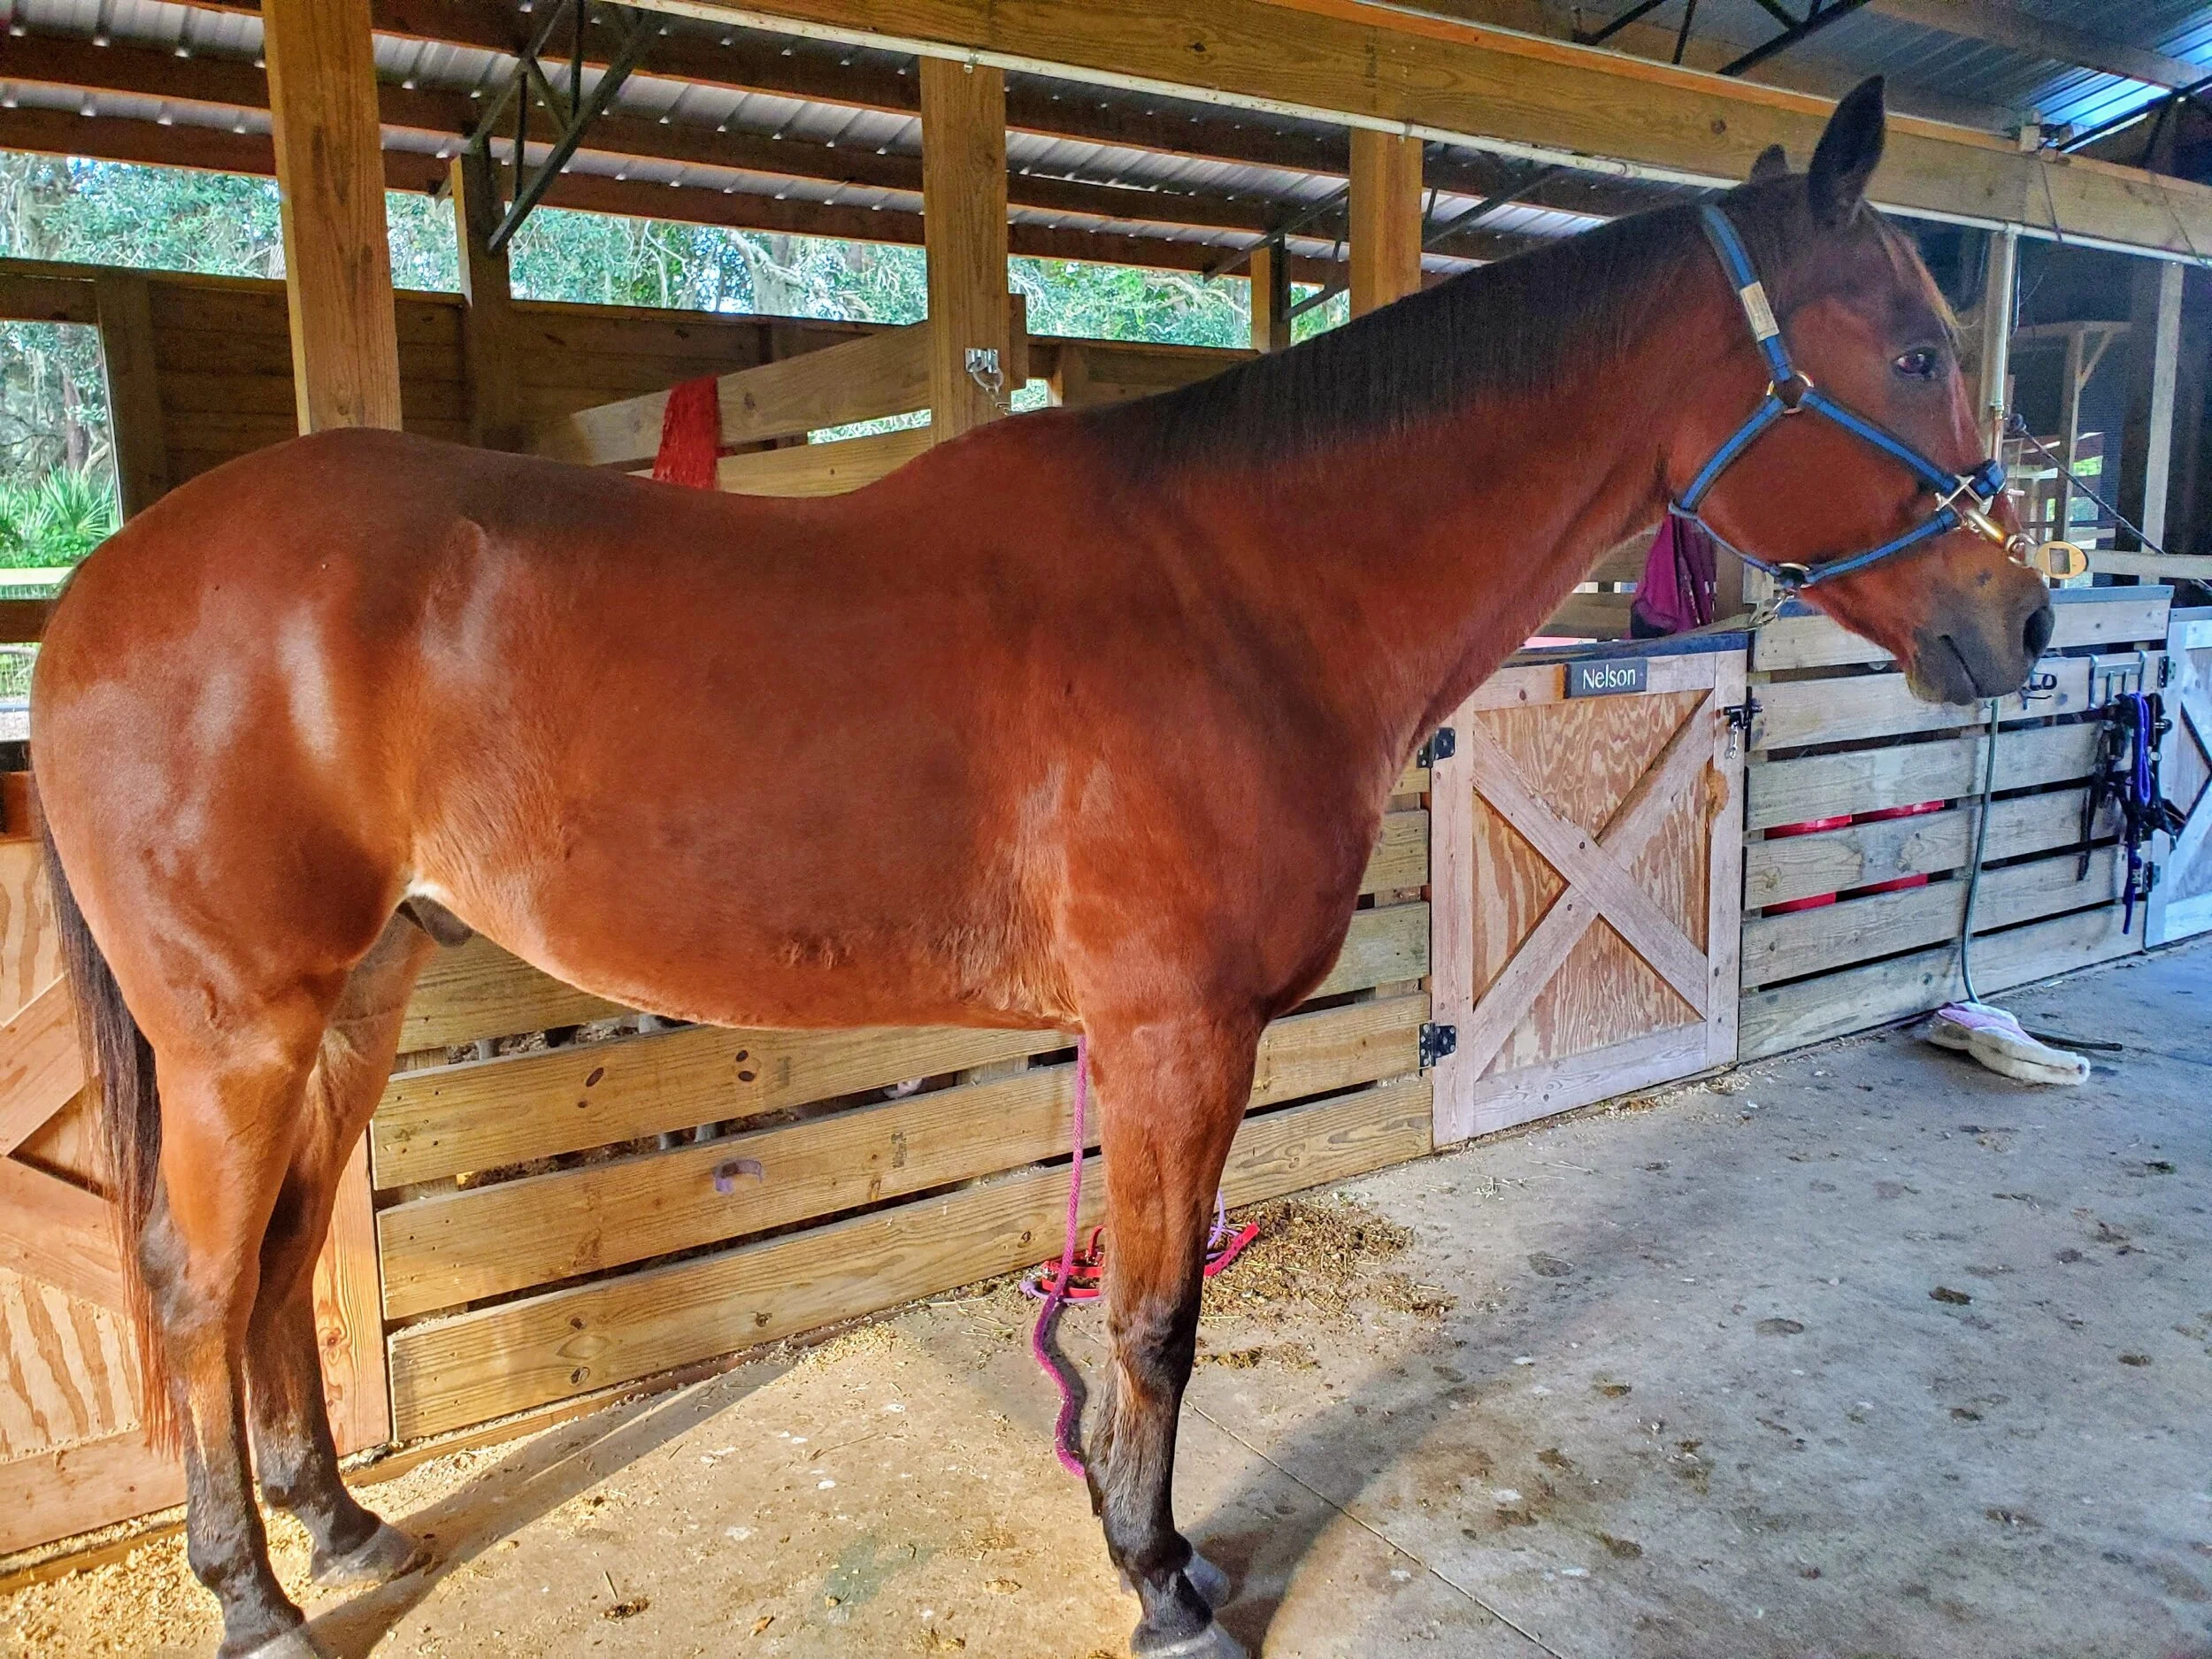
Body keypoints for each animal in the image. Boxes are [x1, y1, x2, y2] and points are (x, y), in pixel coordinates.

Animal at [32, 77, 2050, 1659]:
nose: (2021, 621)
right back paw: (253, 1593)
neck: (1243, 586)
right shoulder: (1175, 1034)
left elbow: (1144, 1309)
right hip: (240, 1029)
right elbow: (1155, 1321)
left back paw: (342, 1525)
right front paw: (1161, 1576)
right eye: (1914, 349)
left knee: (283, 1263)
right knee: (196, 1285)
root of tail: (97, 597)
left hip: (358, 995)